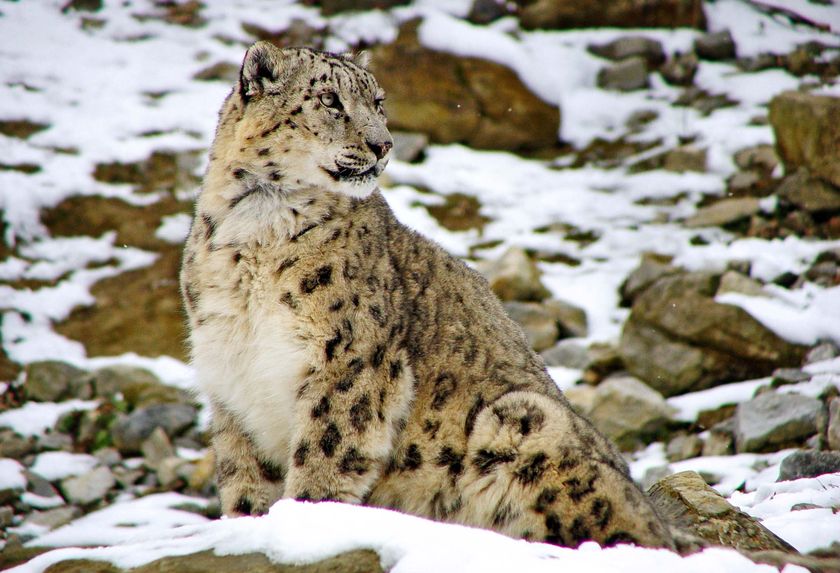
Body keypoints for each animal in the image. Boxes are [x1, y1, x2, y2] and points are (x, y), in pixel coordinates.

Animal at [180, 41, 674, 550]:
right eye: (330, 100)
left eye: (378, 102)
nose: (383, 145)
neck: (256, 228)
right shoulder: (229, 376)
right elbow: (243, 470)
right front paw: (250, 524)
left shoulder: (351, 359)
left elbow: (327, 446)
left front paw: (307, 517)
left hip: (526, 420)